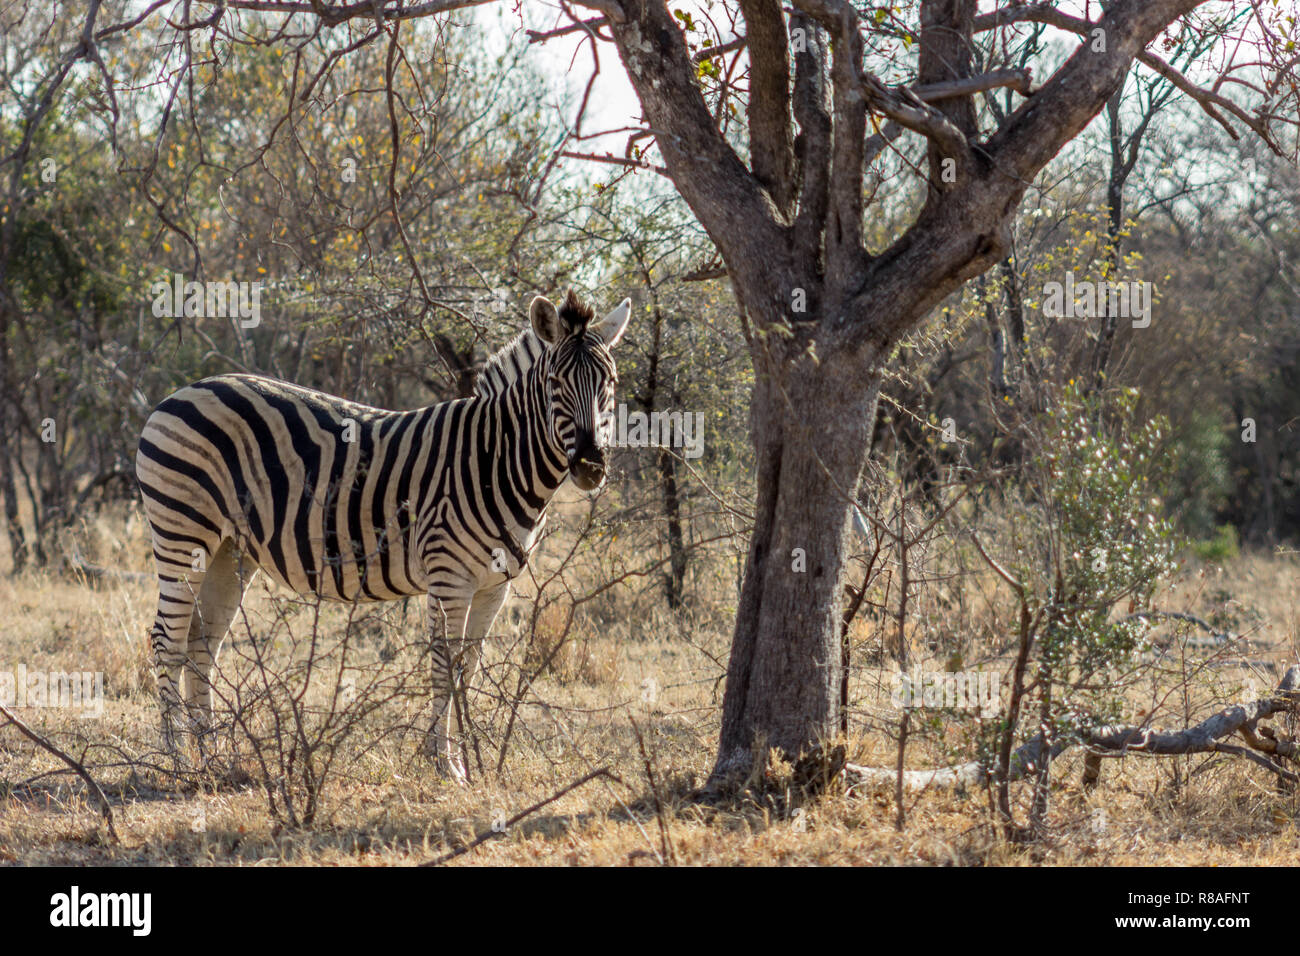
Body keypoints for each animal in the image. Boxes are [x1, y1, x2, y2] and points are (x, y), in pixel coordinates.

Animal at [135, 290, 632, 781]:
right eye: (554, 383)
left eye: (610, 383)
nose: (591, 466)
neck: (496, 459)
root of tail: (179, 392)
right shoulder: (448, 579)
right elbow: (443, 667)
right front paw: (444, 764)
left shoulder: (496, 586)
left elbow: (469, 668)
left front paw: (472, 758)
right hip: (183, 533)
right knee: (167, 640)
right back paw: (177, 761)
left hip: (230, 551)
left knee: (201, 644)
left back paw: (213, 756)